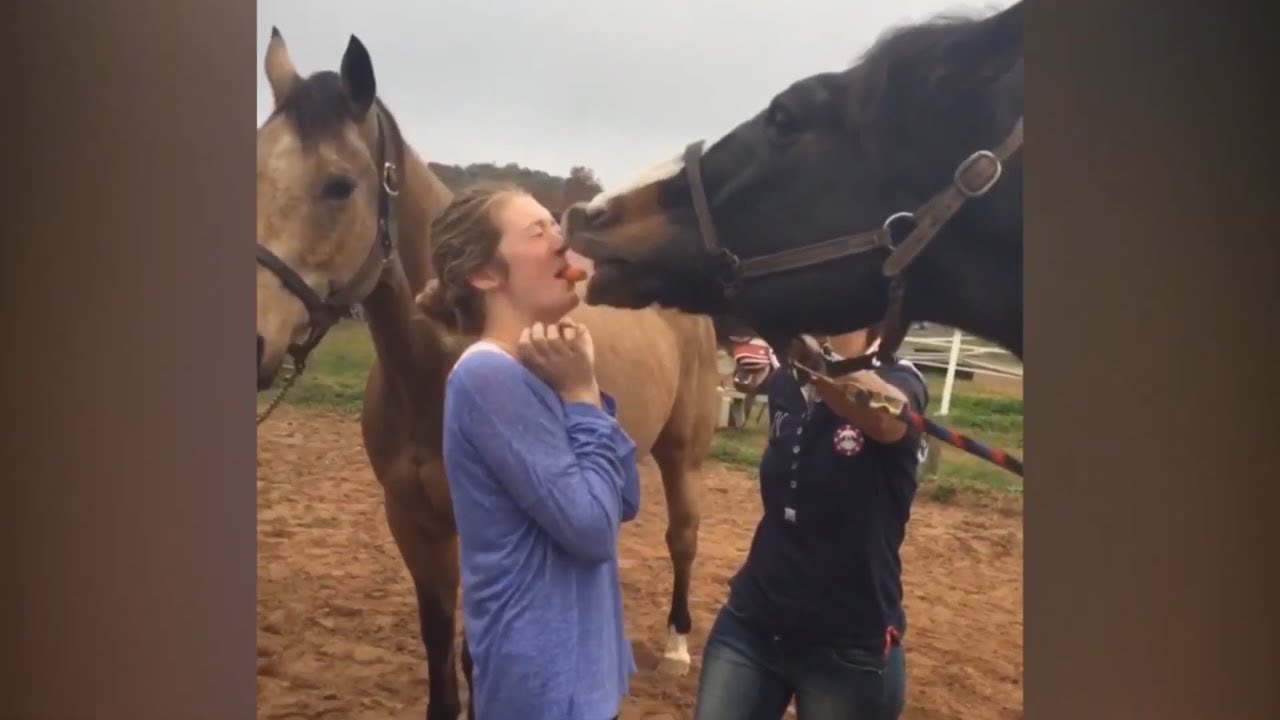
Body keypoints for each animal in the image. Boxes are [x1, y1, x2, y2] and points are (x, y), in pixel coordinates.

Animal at [255, 30, 719, 720]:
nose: (253, 338)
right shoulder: (412, 519)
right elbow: (438, 639)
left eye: (339, 185)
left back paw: (677, 649)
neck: (437, 370)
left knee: (682, 538)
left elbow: (480, 654)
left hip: (682, 454)